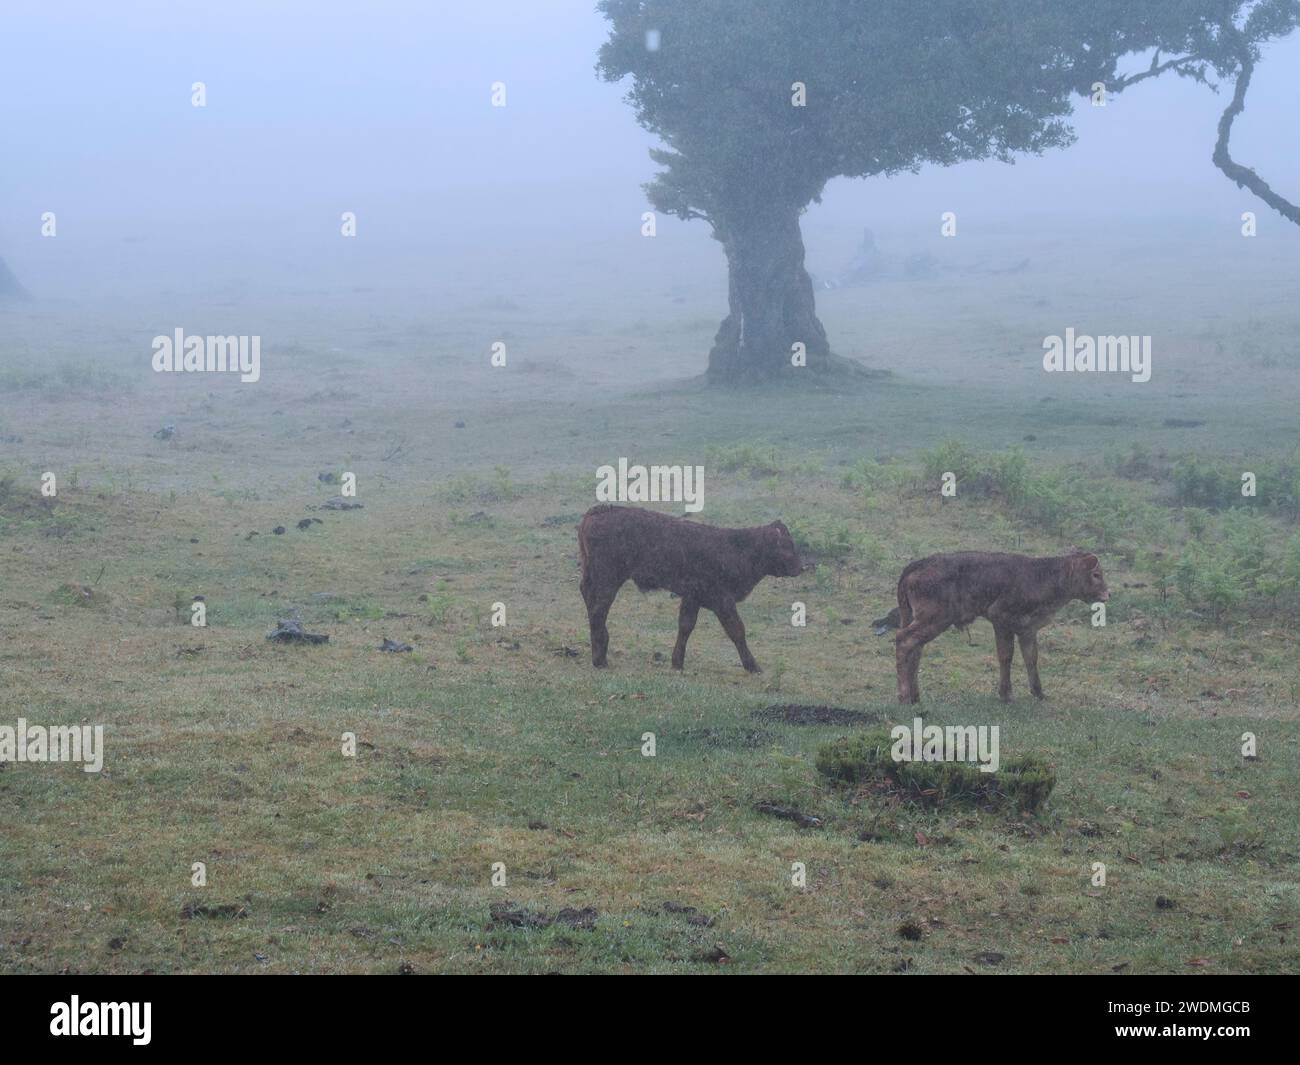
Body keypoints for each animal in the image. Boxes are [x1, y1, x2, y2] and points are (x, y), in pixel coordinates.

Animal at [577, 505, 802, 673]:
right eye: (786, 546)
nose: (801, 567)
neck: (738, 547)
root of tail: (600, 511)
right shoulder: (723, 600)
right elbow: (737, 630)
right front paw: (753, 666)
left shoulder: (692, 598)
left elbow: (685, 626)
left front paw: (677, 663)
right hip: (609, 580)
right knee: (598, 610)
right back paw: (600, 660)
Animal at [892, 549, 1109, 703]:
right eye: (1096, 574)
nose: (1108, 593)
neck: (1041, 576)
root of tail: (916, 565)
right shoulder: (1001, 619)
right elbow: (1006, 656)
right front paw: (1006, 694)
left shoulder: (1027, 629)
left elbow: (1031, 659)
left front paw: (1039, 693)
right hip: (934, 618)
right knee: (903, 641)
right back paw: (904, 696)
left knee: (915, 649)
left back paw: (915, 696)